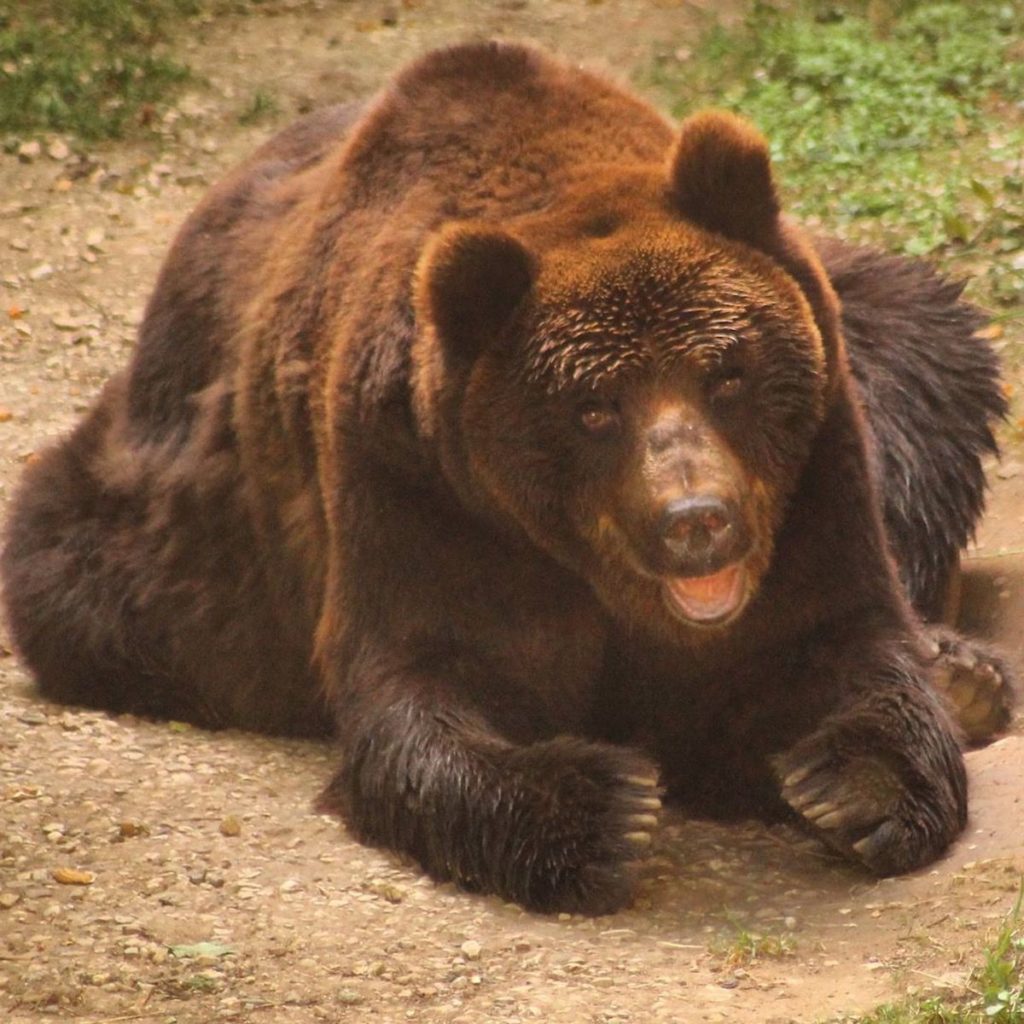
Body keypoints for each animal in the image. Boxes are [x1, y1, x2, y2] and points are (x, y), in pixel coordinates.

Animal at [0, 41, 1014, 914]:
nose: (698, 519)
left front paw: (858, 781)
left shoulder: (813, 464)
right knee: (79, 580)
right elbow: (430, 685)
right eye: (596, 407)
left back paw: (964, 673)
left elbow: (836, 639)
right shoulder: (419, 487)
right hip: (171, 520)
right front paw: (607, 810)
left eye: (725, 373)